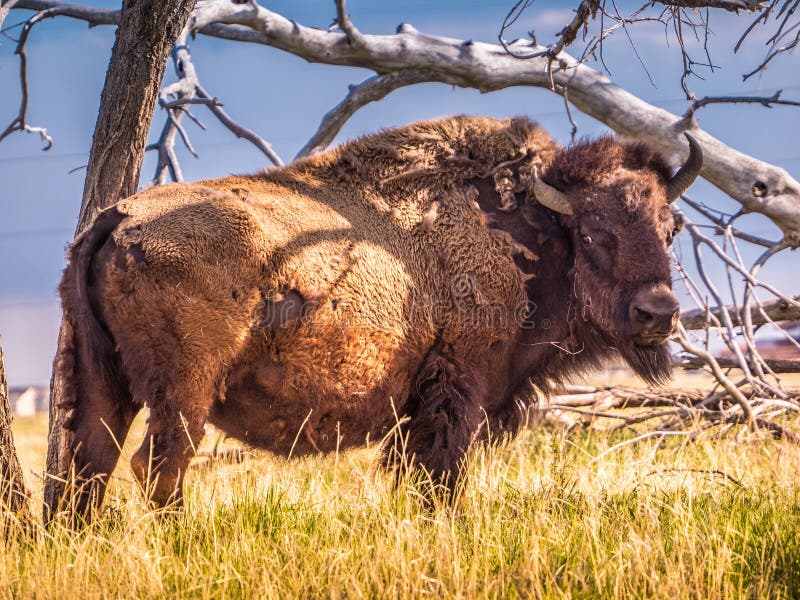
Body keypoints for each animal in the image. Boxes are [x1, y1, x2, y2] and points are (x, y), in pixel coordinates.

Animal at [55, 116, 701, 516]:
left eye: (670, 228)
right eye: (591, 232)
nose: (658, 313)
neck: (528, 229)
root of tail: (116, 218)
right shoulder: (457, 391)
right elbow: (440, 478)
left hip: (101, 375)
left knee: (89, 461)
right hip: (184, 391)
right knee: (158, 465)